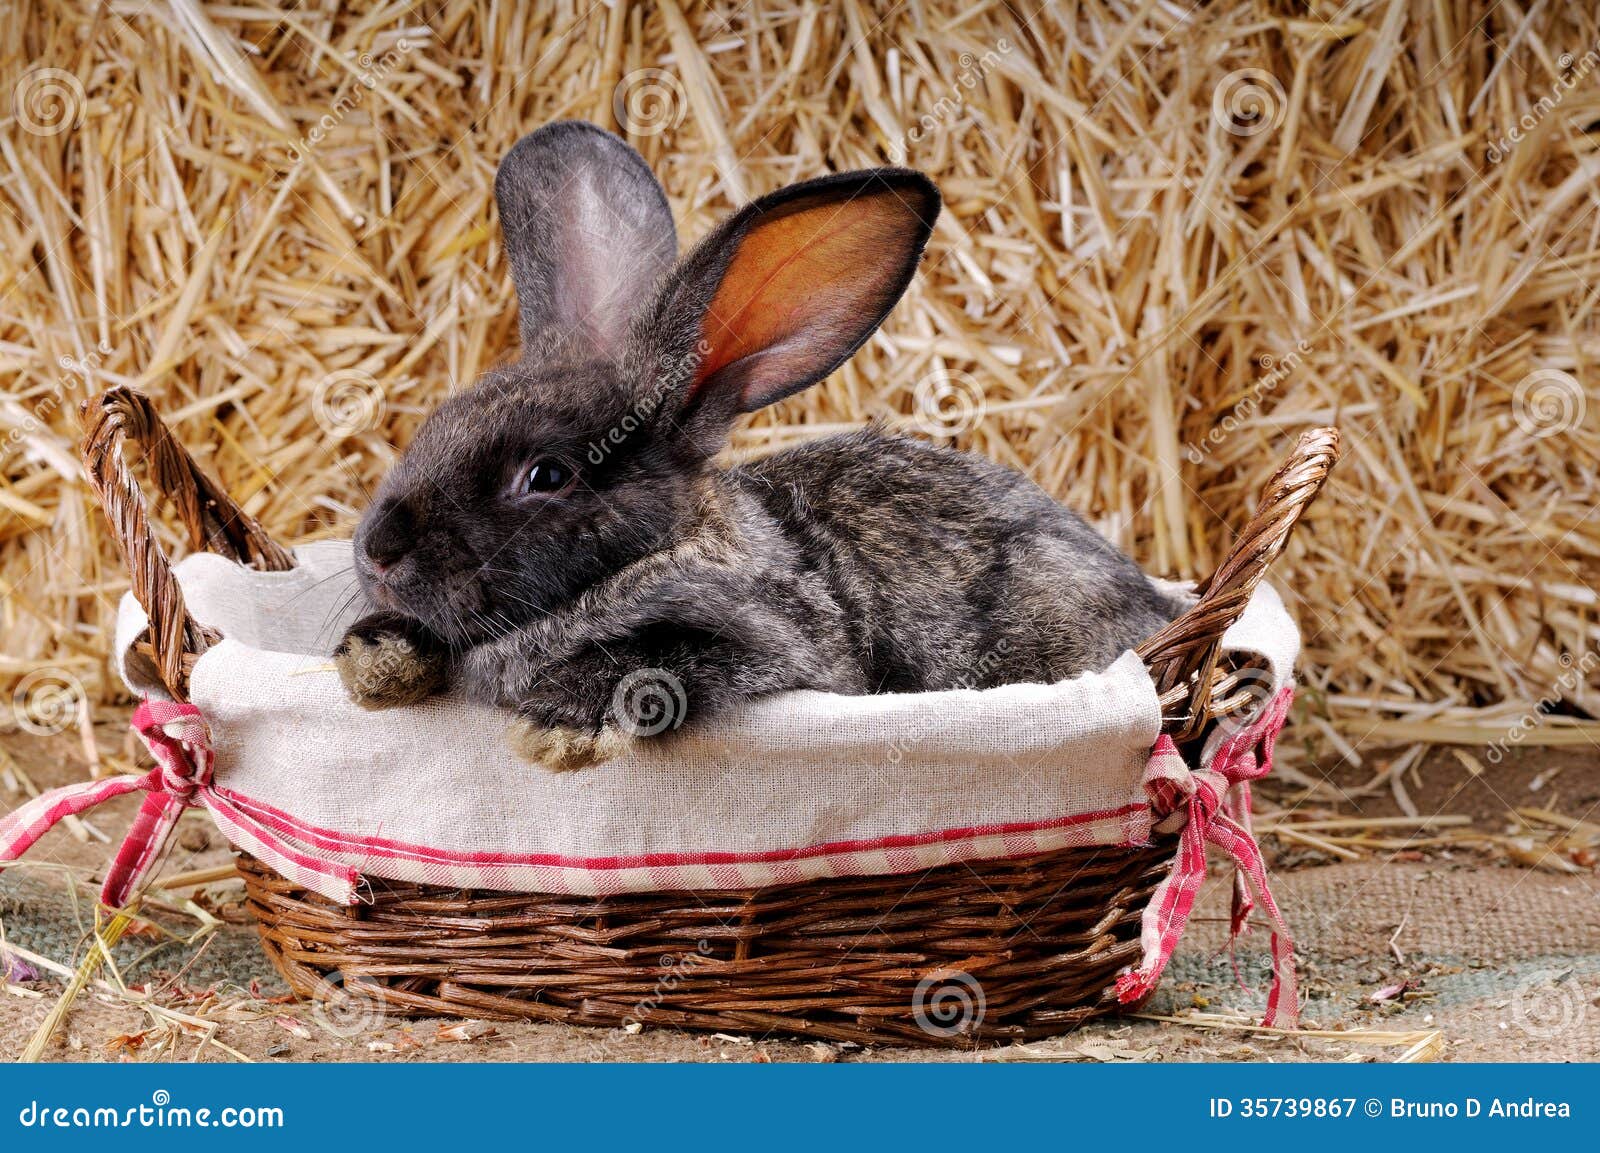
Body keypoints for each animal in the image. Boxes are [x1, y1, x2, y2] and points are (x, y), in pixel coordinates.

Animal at [334, 120, 1182, 771]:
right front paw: (371, 660)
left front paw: (557, 726)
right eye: (437, 423)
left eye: (546, 474)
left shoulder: (780, 644)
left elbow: (663, 656)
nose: (377, 551)